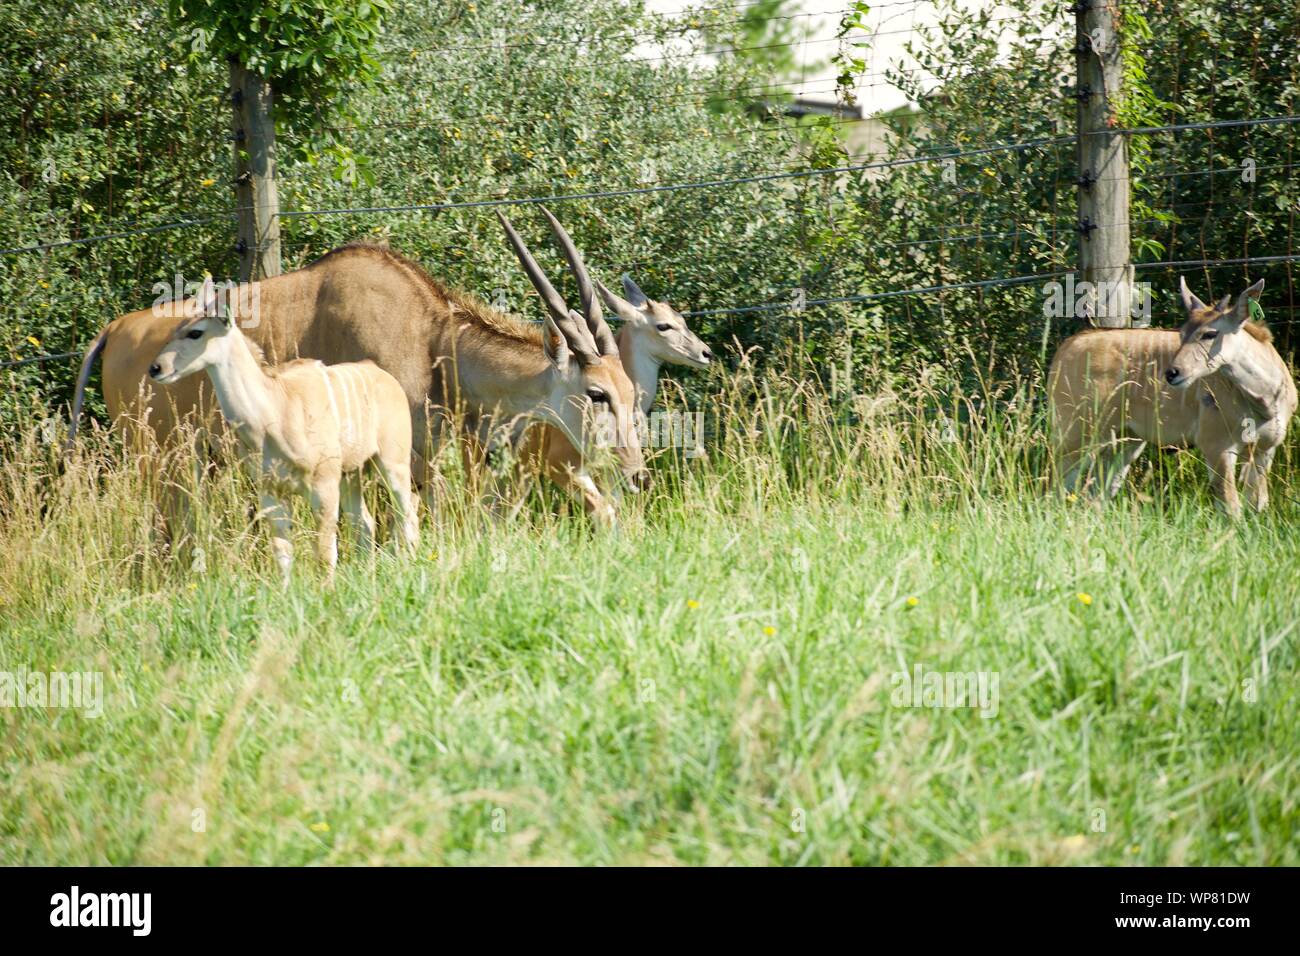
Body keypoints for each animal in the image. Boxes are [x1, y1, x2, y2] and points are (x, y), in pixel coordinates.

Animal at [67, 222, 647, 535]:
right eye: (596, 393)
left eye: (630, 393)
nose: (636, 472)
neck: (432, 339)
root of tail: (116, 328)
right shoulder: (406, 456)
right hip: (160, 458)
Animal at [148, 276, 418, 579]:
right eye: (175, 329)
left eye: (196, 333)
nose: (155, 368)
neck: (276, 410)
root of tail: (388, 379)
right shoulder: (270, 490)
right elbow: (282, 554)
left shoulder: (323, 486)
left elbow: (325, 554)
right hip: (352, 475)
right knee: (366, 522)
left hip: (392, 463)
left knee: (408, 510)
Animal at [1049, 277, 1296, 517]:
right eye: (1182, 334)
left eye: (1210, 333)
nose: (1172, 373)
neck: (1265, 398)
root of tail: (1065, 349)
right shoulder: (1217, 446)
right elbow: (1231, 510)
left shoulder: (1265, 450)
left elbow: (1257, 506)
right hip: (1078, 435)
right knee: (1054, 487)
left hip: (1125, 441)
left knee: (1097, 495)